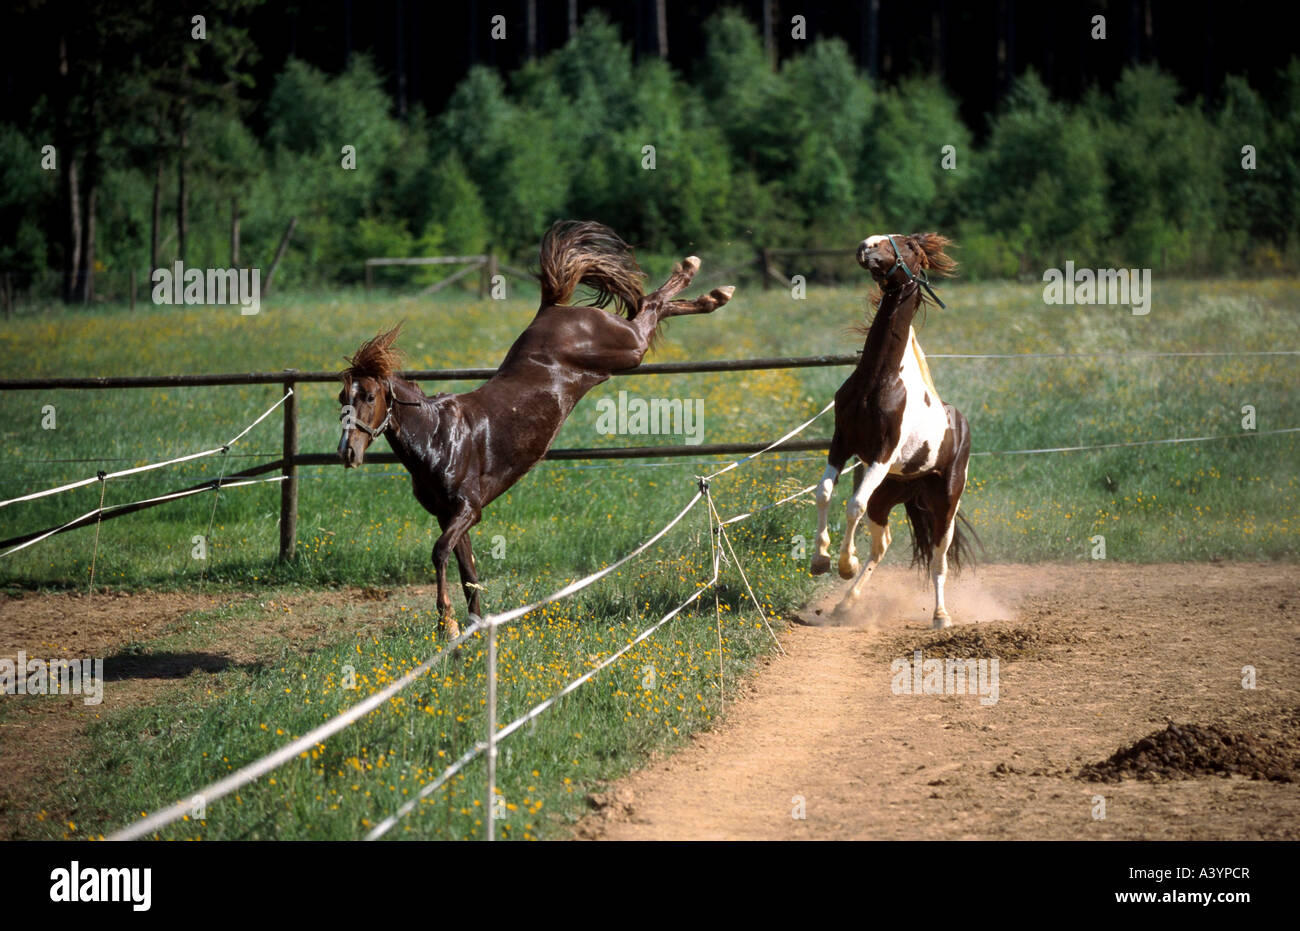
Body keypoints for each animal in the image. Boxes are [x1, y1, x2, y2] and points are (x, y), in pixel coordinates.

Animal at [338, 220, 735, 638]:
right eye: (341, 397)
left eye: (368, 395)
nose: (347, 452)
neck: (439, 438)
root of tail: (551, 310)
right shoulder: (450, 516)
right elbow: (468, 571)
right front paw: (473, 626)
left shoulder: (468, 509)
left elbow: (440, 553)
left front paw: (447, 622)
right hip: (625, 351)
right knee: (651, 307)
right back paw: (713, 294)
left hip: (629, 348)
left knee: (651, 309)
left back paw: (700, 275)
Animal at [809, 232, 975, 628]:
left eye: (910, 247)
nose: (867, 245)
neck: (877, 382)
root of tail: (960, 424)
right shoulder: (841, 443)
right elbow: (824, 492)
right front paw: (820, 560)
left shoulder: (881, 456)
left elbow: (852, 505)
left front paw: (844, 564)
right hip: (888, 496)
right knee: (881, 544)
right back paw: (845, 604)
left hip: (945, 502)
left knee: (938, 558)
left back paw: (941, 615)